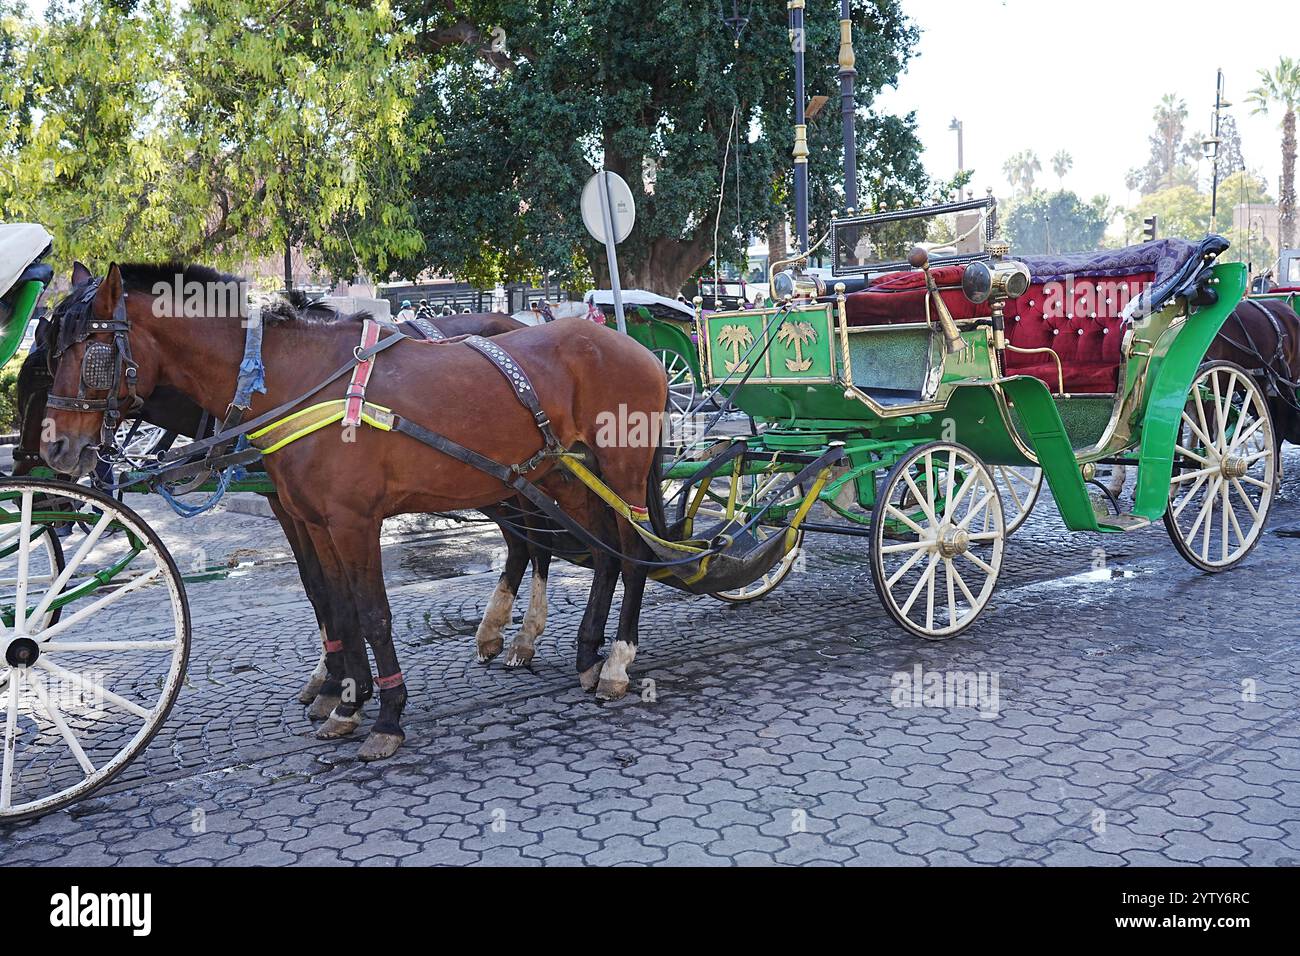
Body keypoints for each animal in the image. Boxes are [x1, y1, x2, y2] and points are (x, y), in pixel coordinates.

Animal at [41, 262, 667, 760]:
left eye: (90, 355)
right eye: (50, 351)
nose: (55, 448)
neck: (298, 380)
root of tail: (627, 345)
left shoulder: (353, 521)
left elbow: (372, 612)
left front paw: (386, 714)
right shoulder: (315, 520)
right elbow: (334, 604)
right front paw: (347, 700)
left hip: (619, 468)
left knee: (633, 552)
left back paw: (616, 659)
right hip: (563, 475)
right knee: (598, 552)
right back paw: (585, 651)